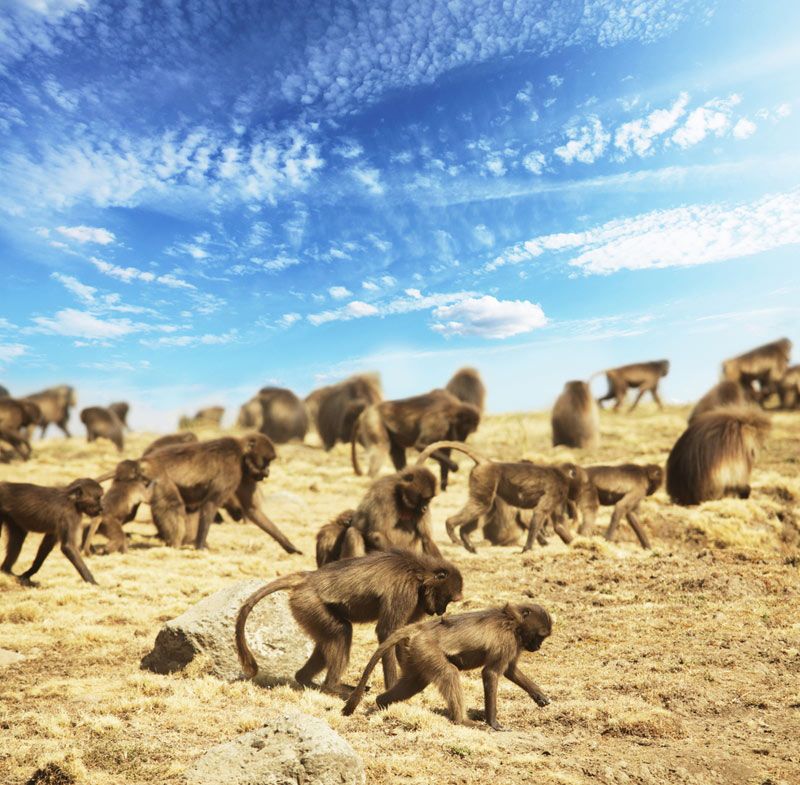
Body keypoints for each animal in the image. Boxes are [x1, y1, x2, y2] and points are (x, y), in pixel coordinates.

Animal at [235, 549, 464, 694]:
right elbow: (387, 632)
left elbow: (401, 638)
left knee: (330, 638)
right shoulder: (405, 591)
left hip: (306, 609)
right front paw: (392, 689)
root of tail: (309, 577)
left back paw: (306, 679)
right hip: (309, 603)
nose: (440, 611)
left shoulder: (417, 603)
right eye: (447, 599)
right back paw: (332, 687)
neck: (420, 573)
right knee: (341, 631)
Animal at [342, 602, 552, 730]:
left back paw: (382, 702)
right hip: (427, 649)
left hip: (418, 654)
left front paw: (539, 695)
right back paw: (462, 720)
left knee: (414, 683)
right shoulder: (507, 641)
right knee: (449, 673)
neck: (513, 621)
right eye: (540, 636)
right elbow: (491, 673)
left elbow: (510, 670)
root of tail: (424, 627)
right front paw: (493, 722)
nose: (538, 647)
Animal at [351, 389, 480, 490]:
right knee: (381, 447)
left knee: (397, 453)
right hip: (373, 421)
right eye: (465, 429)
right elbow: (421, 445)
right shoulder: (438, 421)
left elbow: (445, 451)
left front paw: (444, 489)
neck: (451, 411)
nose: (462, 438)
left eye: (468, 431)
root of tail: (365, 413)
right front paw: (454, 467)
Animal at [416, 441, 574, 553]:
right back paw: (451, 527)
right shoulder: (556, 490)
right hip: (486, 478)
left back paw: (466, 538)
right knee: (482, 506)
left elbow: (558, 524)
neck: (561, 476)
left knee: (487, 510)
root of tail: (489, 463)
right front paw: (527, 548)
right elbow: (538, 513)